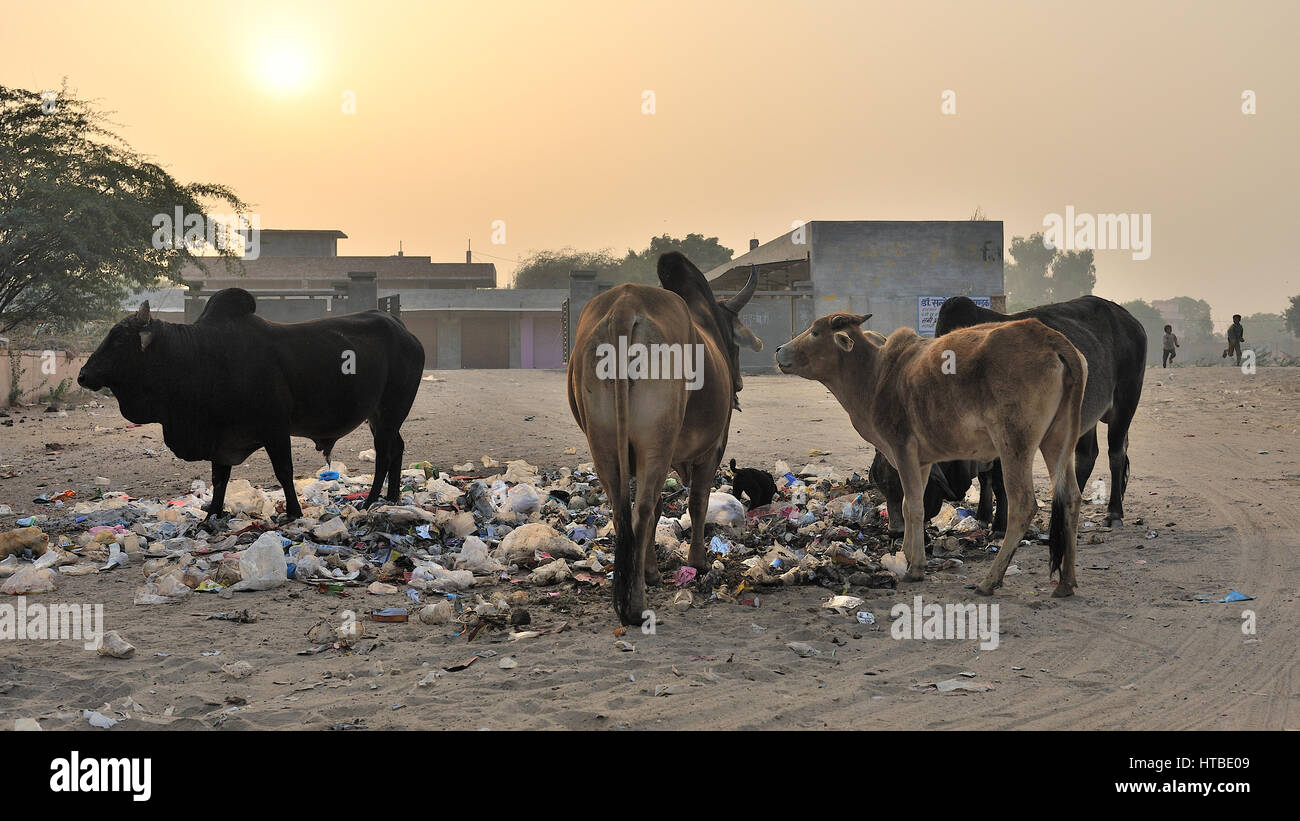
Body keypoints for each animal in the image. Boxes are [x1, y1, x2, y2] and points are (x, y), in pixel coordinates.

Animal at [77, 289, 425, 524]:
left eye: (119, 340)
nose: (82, 375)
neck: (195, 356)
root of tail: (403, 329)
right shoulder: (220, 437)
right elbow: (219, 478)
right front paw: (212, 516)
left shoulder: (274, 429)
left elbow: (284, 472)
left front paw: (294, 512)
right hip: (379, 416)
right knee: (397, 448)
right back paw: (393, 497)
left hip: (390, 411)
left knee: (384, 454)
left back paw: (370, 501)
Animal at [568, 253, 763, 624]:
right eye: (734, 345)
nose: (740, 384)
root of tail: (625, 306)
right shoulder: (713, 448)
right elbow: (697, 502)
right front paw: (697, 562)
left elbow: (662, 508)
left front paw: (652, 570)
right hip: (657, 442)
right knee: (642, 509)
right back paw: (636, 604)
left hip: (603, 444)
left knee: (624, 510)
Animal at [776, 313, 1087, 596]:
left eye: (815, 332)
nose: (779, 350)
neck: (876, 376)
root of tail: (1049, 337)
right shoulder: (922, 460)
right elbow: (907, 506)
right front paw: (907, 554)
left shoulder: (903, 449)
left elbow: (913, 506)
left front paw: (915, 568)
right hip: (1057, 440)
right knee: (1071, 497)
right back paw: (1067, 583)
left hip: (1015, 443)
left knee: (1022, 505)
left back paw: (990, 581)